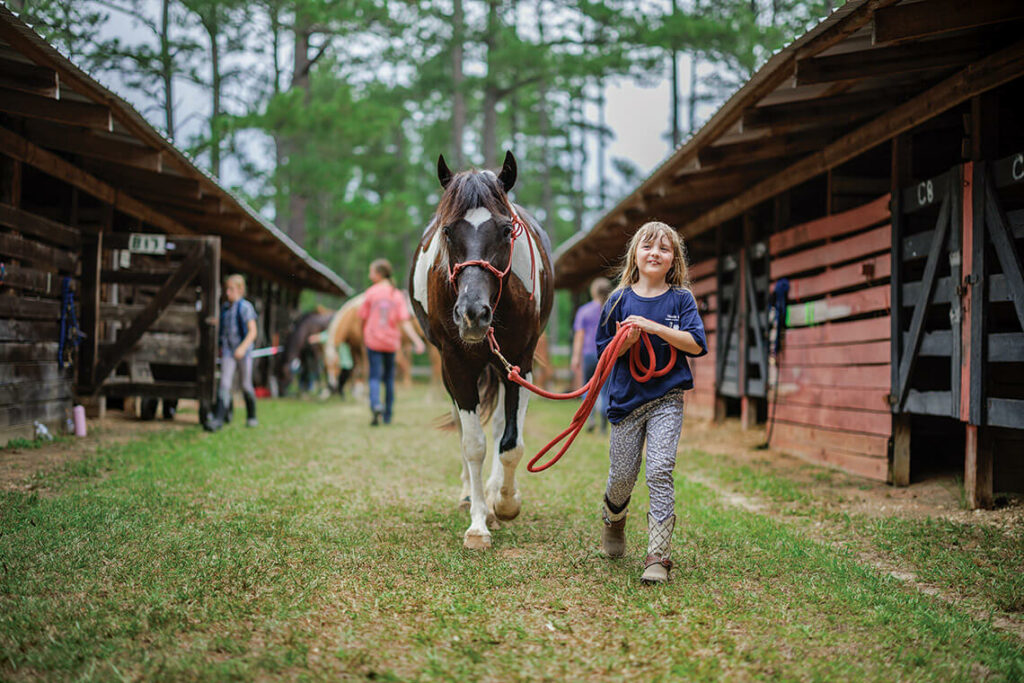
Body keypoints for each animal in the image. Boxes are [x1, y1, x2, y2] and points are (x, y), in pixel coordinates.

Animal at [409, 150, 553, 550]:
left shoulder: (519, 363)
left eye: (505, 230)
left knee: (504, 425)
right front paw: (477, 523)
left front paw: (505, 502)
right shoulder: (455, 365)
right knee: (464, 428)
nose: (472, 313)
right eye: (447, 231)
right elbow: (472, 443)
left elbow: (511, 443)